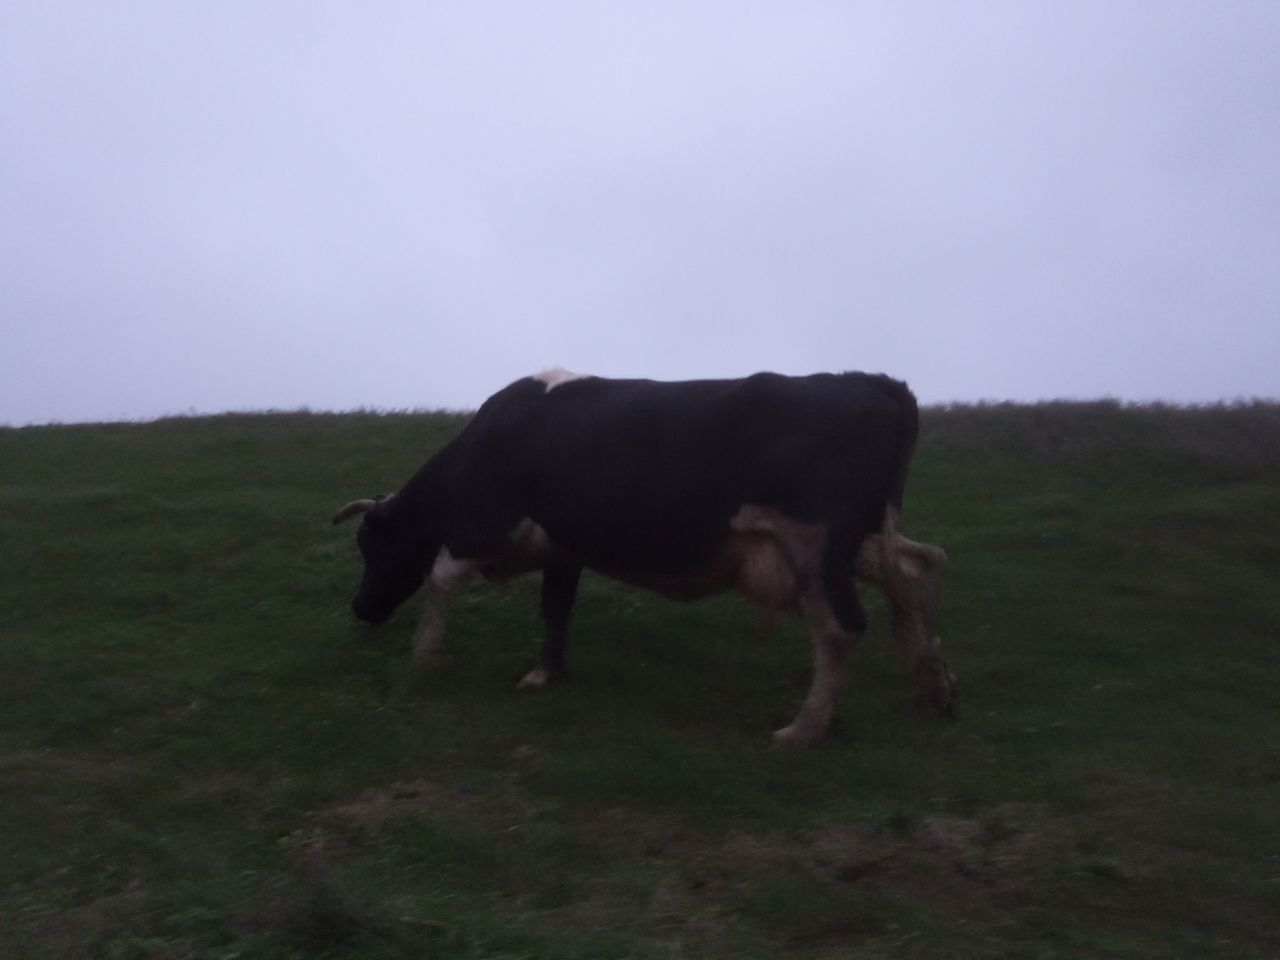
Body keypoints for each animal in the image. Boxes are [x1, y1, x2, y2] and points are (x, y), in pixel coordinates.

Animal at [333, 369, 953, 746]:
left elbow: (439, 578)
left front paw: (423, 656)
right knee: (913, 575)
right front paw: (545, 671)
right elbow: (555, 607)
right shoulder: (565, 547)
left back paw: (804, 728)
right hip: (859, 542)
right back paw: (932, 687)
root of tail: (870, 381)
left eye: (371, 544)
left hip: (816, 545)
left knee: (841, 627)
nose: (360, 609)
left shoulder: (485, 525)